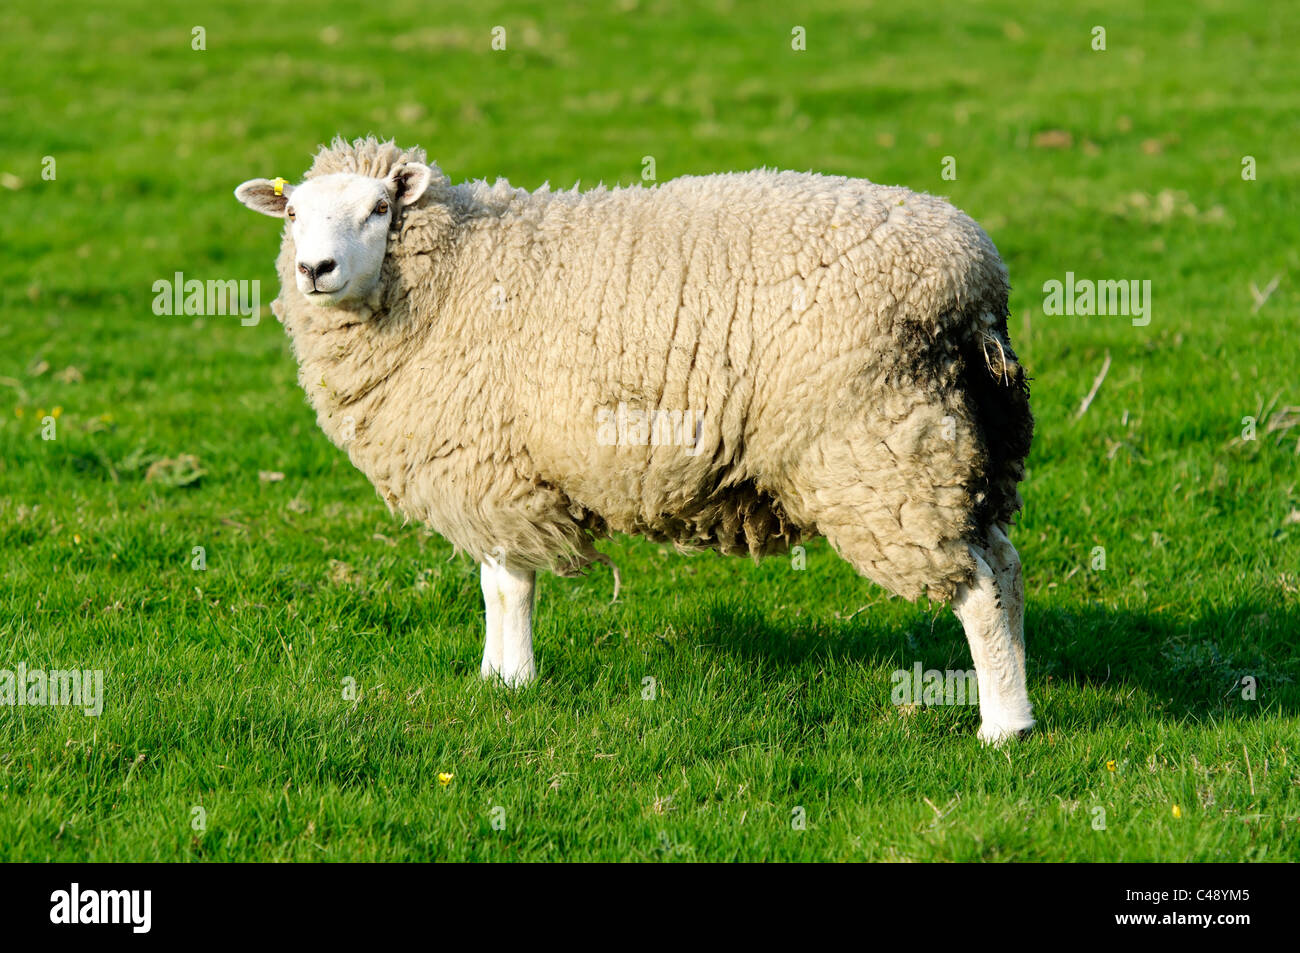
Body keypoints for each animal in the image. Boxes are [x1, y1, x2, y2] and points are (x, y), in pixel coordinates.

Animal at [235, 136, 1035, 744]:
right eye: (294, 212)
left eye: (378, 208)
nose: (314, 269)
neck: (456, 269)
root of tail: (976, 281)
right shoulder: (491, 463)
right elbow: (496, 581)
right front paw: (492, 675)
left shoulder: (494, 463)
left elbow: (508, 583)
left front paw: (513, 681)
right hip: (955, 440)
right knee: (1005, 564)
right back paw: (1021, 711)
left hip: (878, 450)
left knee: (974, 588)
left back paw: (1000, 728)